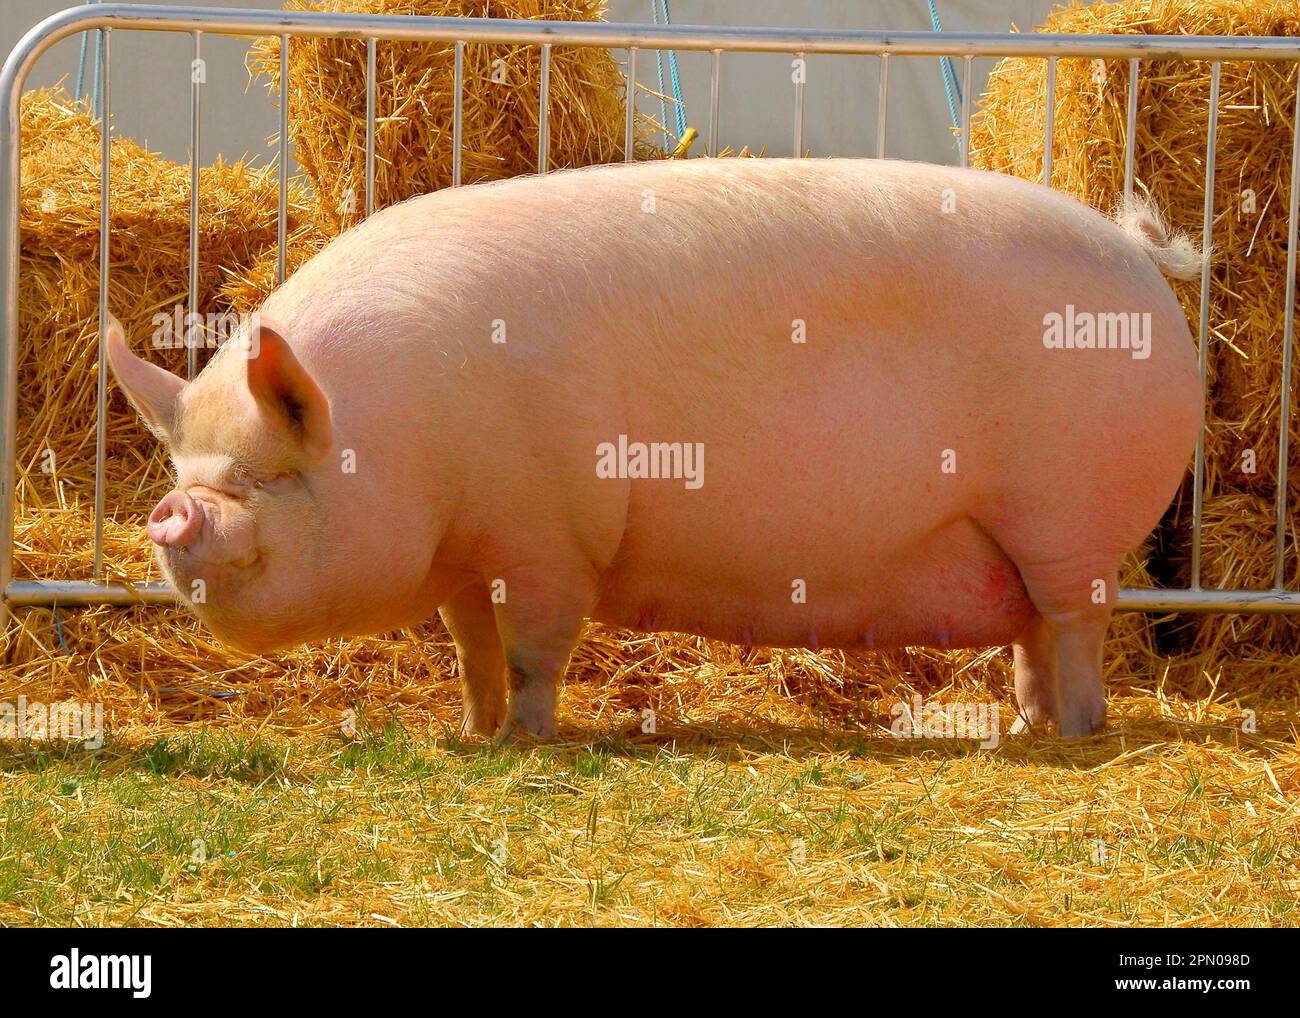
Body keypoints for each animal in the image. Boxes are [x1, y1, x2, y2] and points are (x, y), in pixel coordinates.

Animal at [106, 157, 1203, 740]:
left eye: (271, 475)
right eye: (185, 468)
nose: (174, 511)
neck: (406, 434)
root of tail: (1140, 256)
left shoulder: (552, 531)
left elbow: (536, 643)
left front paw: (531, 738)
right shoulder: (468, 553)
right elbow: (471, 646)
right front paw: (473, 732)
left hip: (1067, 513)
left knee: (1074, 624)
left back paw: (1073, 732)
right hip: (1018, 538)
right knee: (1033, 633)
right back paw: (1026, 725)